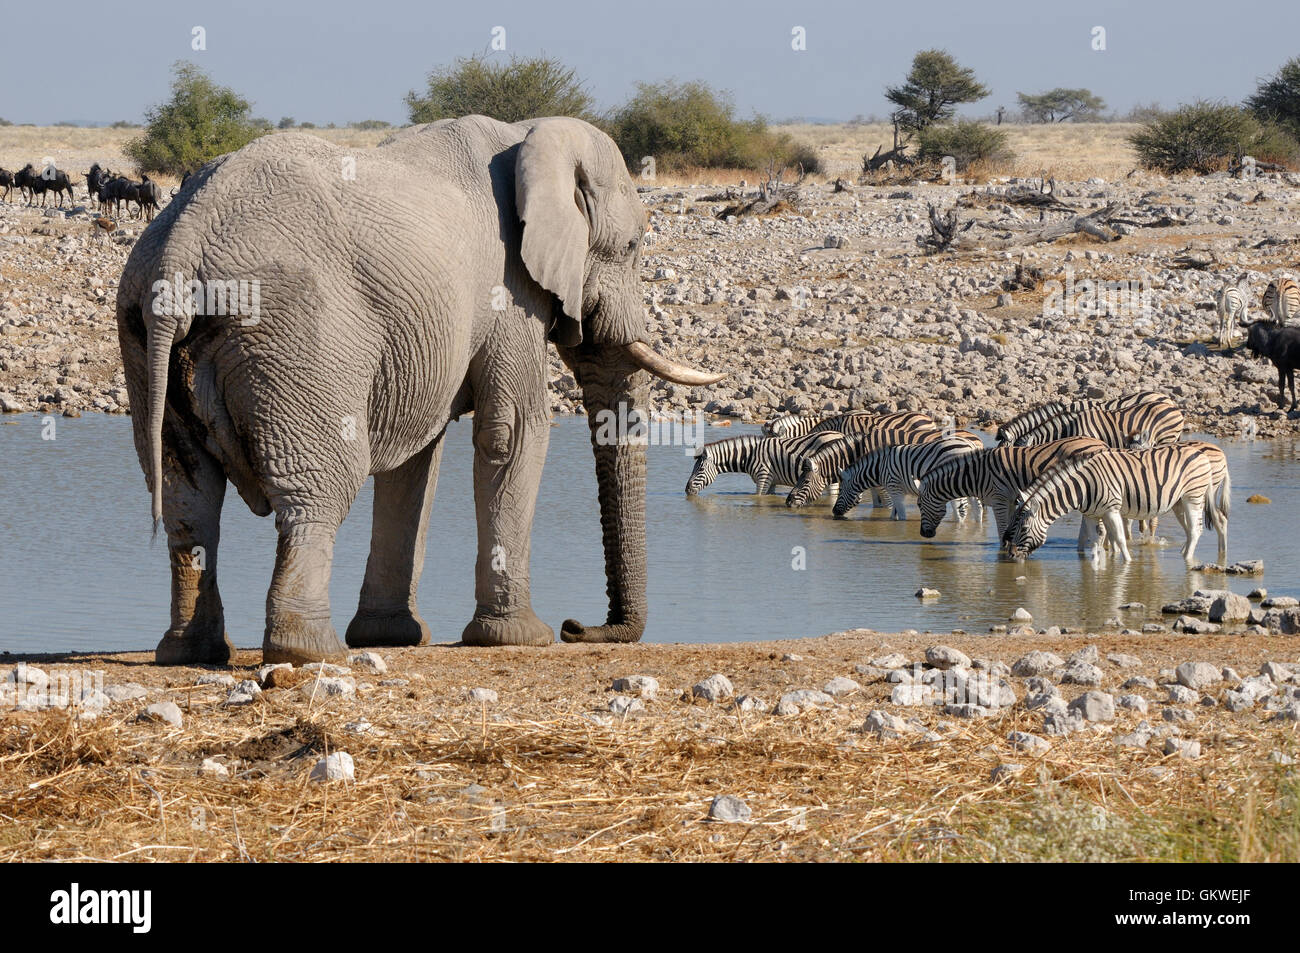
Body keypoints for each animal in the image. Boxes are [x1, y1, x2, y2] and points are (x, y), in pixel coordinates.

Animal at [115, 115, 725, 665]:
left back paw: (191, 653)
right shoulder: (510, 291)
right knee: (319, 487)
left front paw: (392, 636)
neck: (530, 135)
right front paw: (521, 638)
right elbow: (513, 432)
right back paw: (310, 652)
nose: (579, 627)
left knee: (188, 497)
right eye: (633, 245)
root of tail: (182, 241)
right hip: (295, 335)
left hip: (142, 337)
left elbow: (417, 459)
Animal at [685, 431, 846, 497]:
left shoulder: (763, 477)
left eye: (700, 469)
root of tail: (841, 435)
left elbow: (758, 497)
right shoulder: (772, 481)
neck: (749, 455)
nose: (687, 490)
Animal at [831, 432, 983, 520]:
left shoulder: (894, 487)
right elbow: (894, 514)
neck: (879, 468)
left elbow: (902, 515)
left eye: (841, 490)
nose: (834, 512)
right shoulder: (897, 491)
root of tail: (971, 445)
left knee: (962, 511)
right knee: (978, 508)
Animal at [917, 437, 1110, 541]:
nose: (923, 534)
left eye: (919, 505)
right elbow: (1008, 527)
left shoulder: (999, 500)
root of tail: (1101, 444)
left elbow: (1002, 529)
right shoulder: (1009, 500)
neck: (977, 474)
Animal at [1006, 445, 1227, 566]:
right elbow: (1096, 540)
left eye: (1023, 528)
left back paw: (1187, 558)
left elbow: (1120, 539)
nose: (1011, 555)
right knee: (1201, 527)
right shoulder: (1091, 514)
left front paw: (1127, 563)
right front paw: (1095, 564)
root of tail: (1200, 453)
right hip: (1179, 502)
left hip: (1193, 497)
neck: (1082, 487)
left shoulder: (1112, 509)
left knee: (1196, 529)